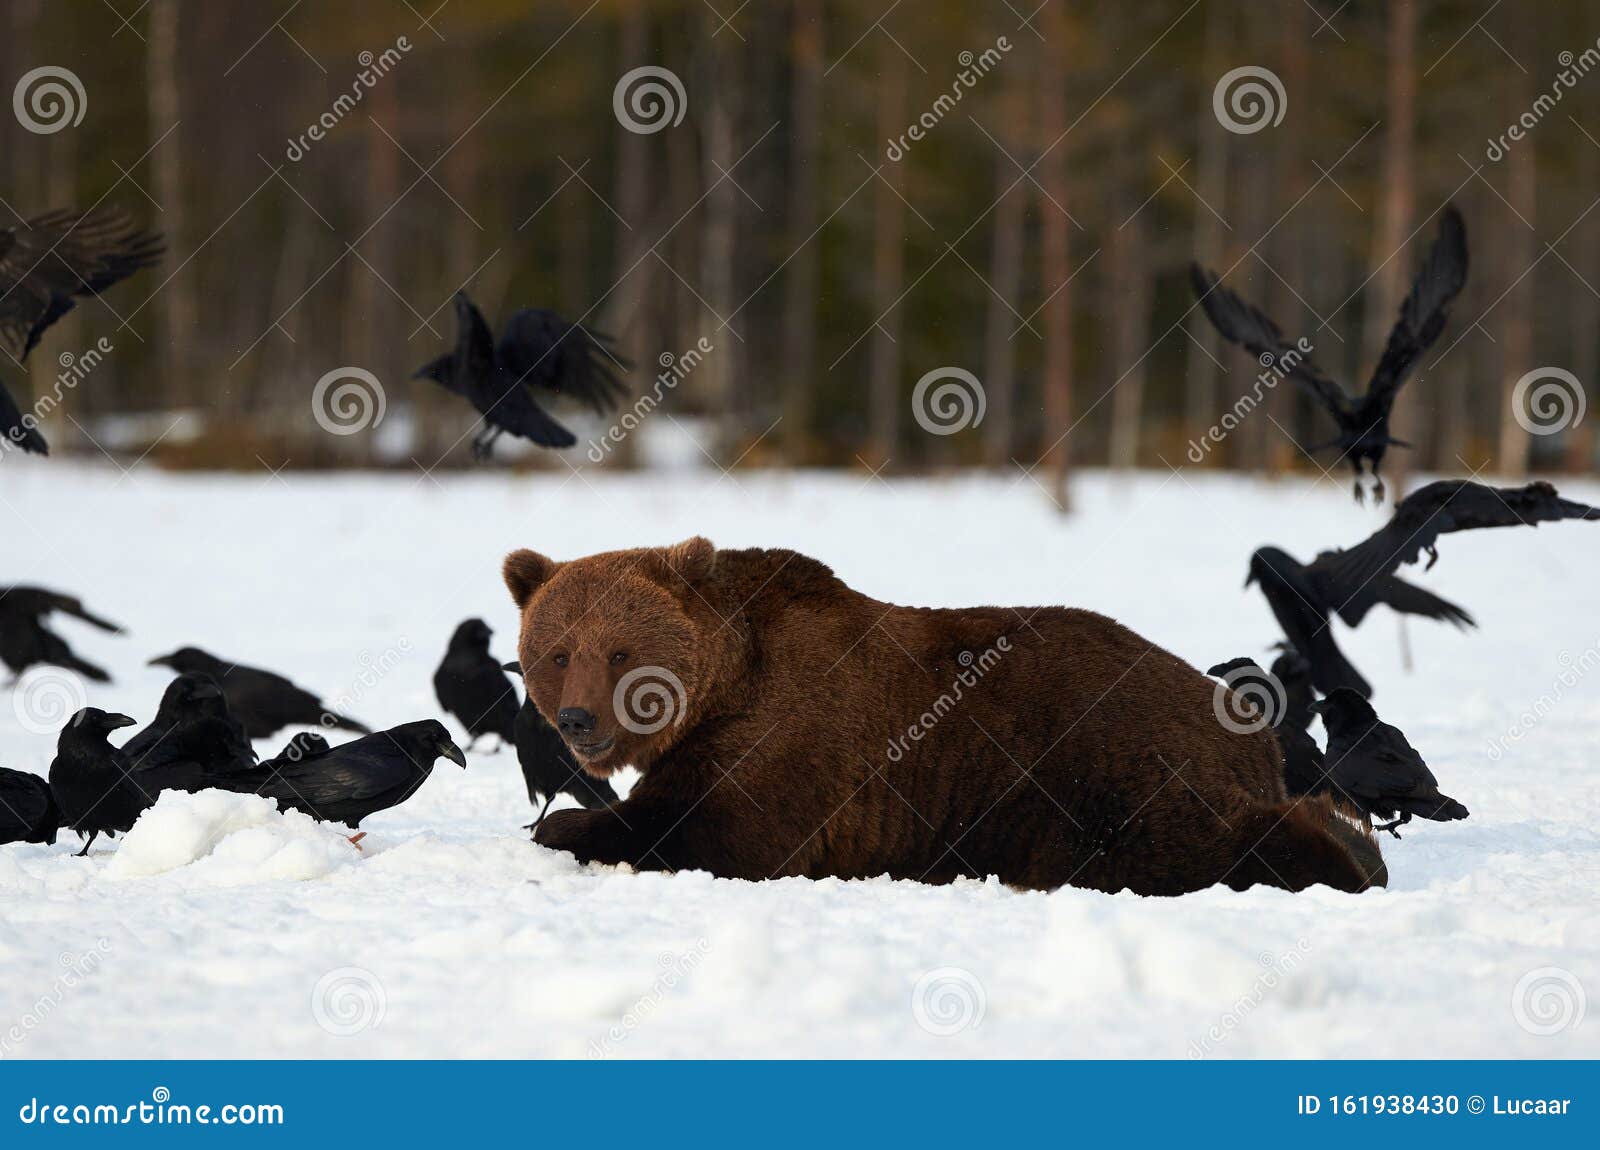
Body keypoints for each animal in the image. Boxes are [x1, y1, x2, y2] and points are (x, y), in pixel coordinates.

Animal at [503, 536, 1385, 896]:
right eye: (559, 651)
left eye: (620, 650)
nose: (577, 719)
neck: (728, 680)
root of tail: (1244, 726)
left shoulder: (793, 736)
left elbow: (722, 827)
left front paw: (568, 826)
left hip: (1101, 767)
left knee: (1187, 844)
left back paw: (1345, 852)